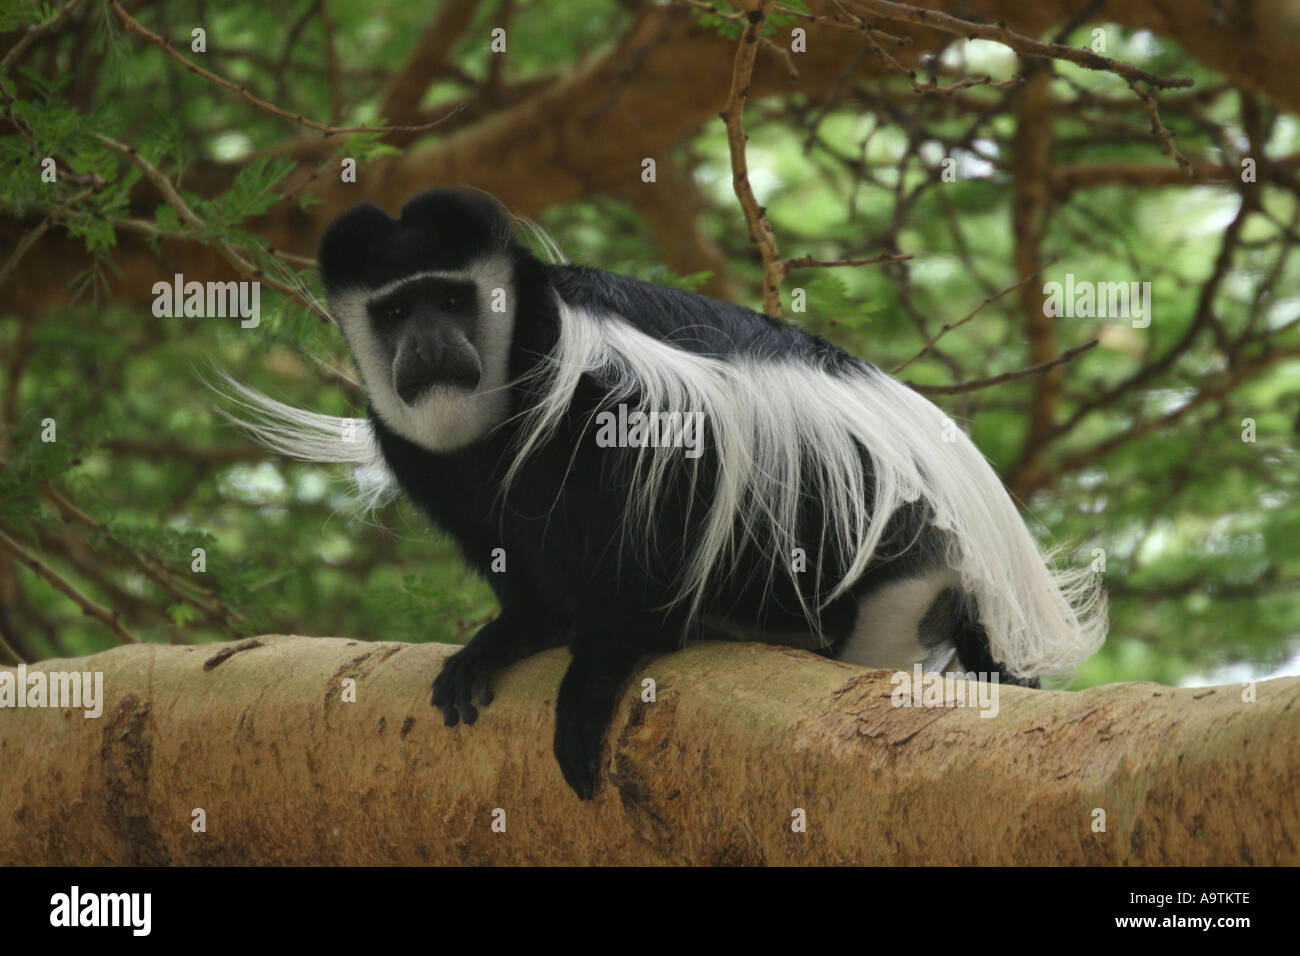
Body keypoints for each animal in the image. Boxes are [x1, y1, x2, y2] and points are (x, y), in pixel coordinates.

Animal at [220, 187, 1106, 799]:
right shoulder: (423, 453)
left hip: (848, 509)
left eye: (450, 298)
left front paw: (596, 672)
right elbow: (506, 555)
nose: (431, 345)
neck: (511, 368)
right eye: (396, 308)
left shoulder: (605, 384)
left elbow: (656, 520)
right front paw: (507, 638)